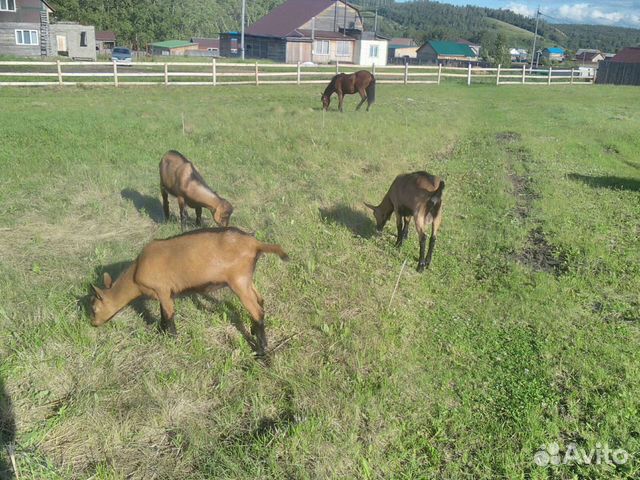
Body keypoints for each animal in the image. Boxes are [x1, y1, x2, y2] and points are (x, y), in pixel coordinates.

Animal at [90, 227, 289, 355]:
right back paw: (254, 331)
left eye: (94, 308)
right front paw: (161, 331)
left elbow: (169, 315)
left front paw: (172, 339)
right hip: (247, 280)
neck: (136, 273)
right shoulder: (165, 293)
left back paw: (262, 351)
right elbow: (163, 313)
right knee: (260, 301)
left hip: (238, 281)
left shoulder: (162, 290)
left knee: (257, 311)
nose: (93, 324)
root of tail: (254, 243)